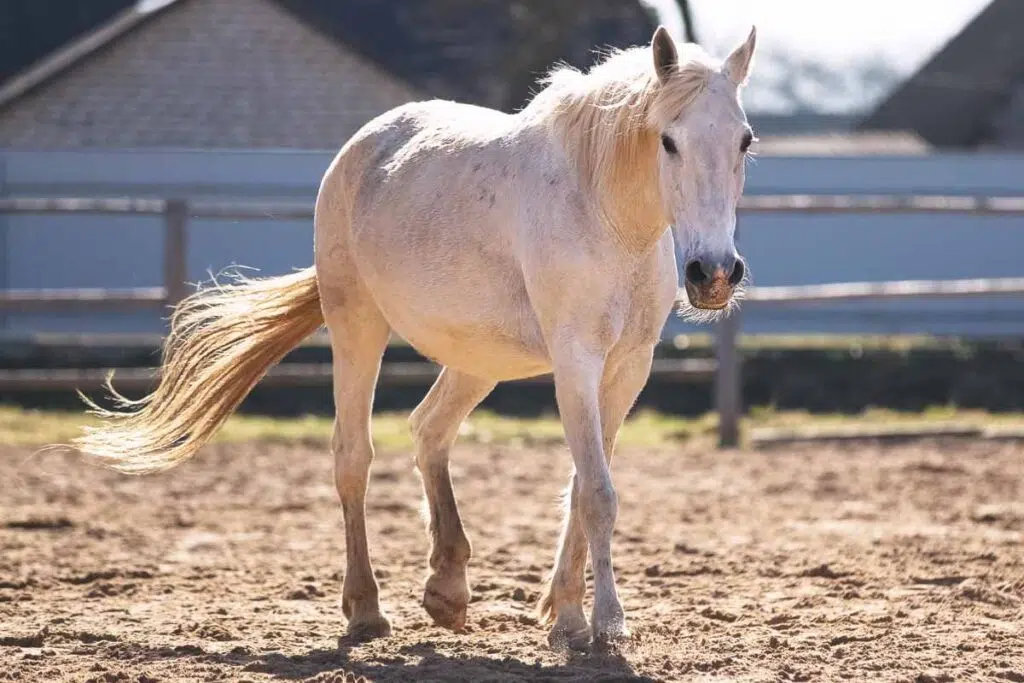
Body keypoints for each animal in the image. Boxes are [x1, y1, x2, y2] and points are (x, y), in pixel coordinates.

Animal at [63, 25, 758, 650]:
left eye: (745, 141)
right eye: (667, 141)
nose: (714, 274)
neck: (604, 214)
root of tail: (361, 148)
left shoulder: (628, 368)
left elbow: (584, 490)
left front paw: (564, 616)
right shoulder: (575, 364)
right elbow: (597, 494)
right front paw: (602, 624)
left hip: (477, 360)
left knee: (429, 430)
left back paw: (447, 588)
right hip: (358, 329)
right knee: (353, 457)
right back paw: (366, 611)